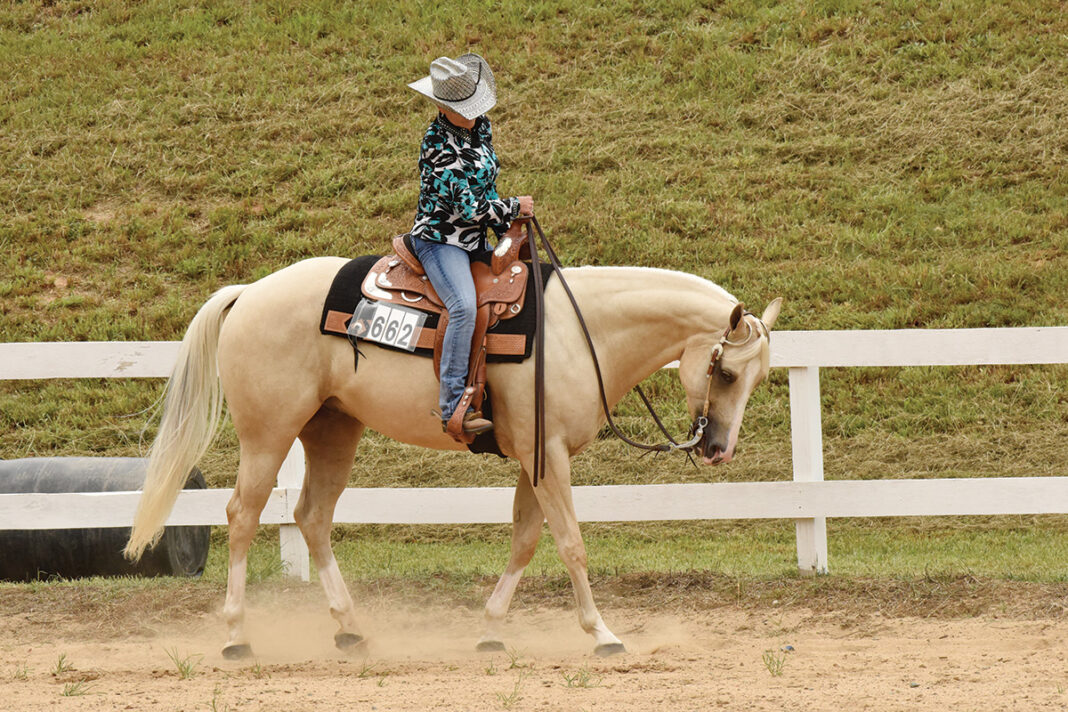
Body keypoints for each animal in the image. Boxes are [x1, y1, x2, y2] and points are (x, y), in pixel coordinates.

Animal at [124, 256, 782, 659]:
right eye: (725, 371)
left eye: (759, 377)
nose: (719, 450)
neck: (582, 331)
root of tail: (249, 293)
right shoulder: (549, 457)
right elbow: (571, 542)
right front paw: (602, 633)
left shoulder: (534, 460)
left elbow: (526, 540)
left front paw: (491, 631)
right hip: (268, 434)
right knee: (242, 515)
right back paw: (237, 636)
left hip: (332, 430)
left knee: (311, 516)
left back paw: (351, 629)